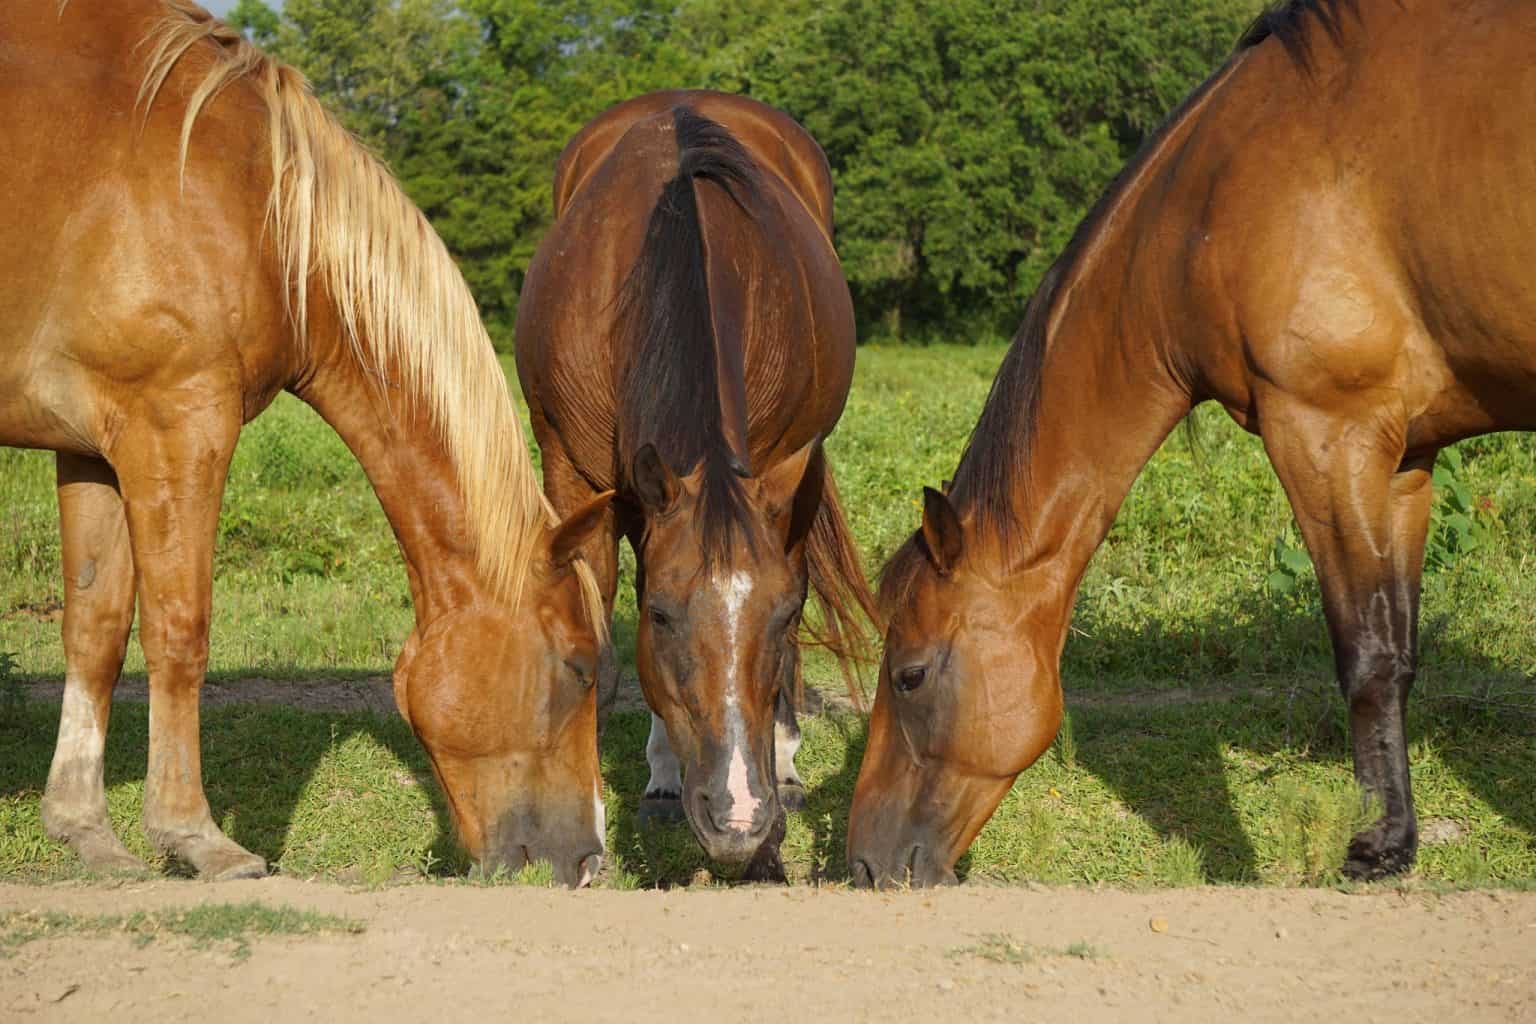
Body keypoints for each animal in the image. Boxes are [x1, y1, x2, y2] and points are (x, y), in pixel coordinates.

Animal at [2, 0, 612, 886]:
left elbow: (96, 628)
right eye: (577, 666)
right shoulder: (176, 424)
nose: (589, 858)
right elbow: (180, 630)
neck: (255, 201)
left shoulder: (94, 447)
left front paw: (88, 831)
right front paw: (195, 835)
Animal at [848, 0, 1536, 887]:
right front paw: (1395, 834)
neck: (1215, 196)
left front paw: (1375, 847)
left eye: (909, 674)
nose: (865, 863)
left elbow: (1368, 654)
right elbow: (1402, 646)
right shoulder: (1407, 460)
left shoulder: (1327, 435)